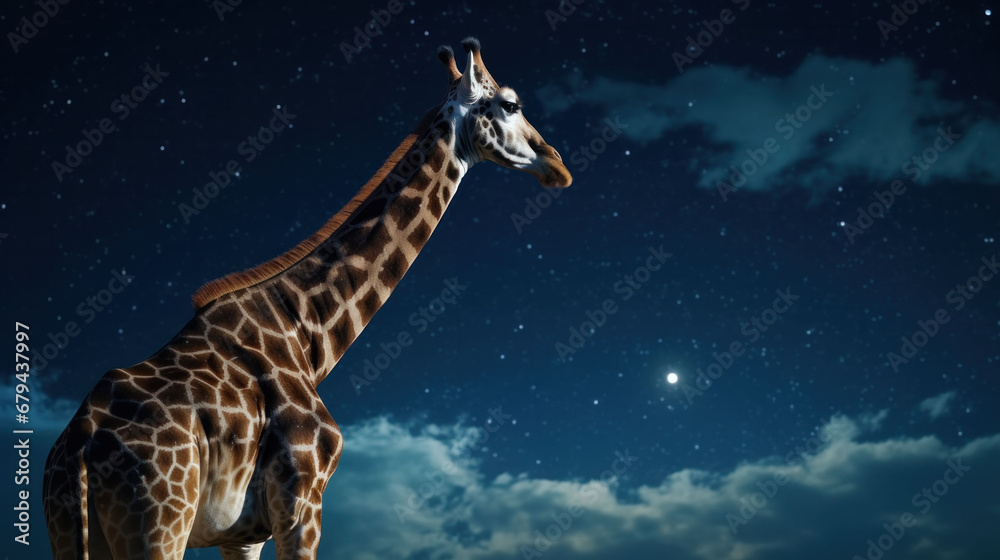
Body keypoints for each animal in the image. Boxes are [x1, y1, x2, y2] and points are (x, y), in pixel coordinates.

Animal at [43, 37, 571, 560]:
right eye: (511, 104)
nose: (558, 164)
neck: (306, 332)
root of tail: (80, 446)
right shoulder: (301, 501)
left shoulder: (243, 535)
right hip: (161, 525)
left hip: (73, 533)